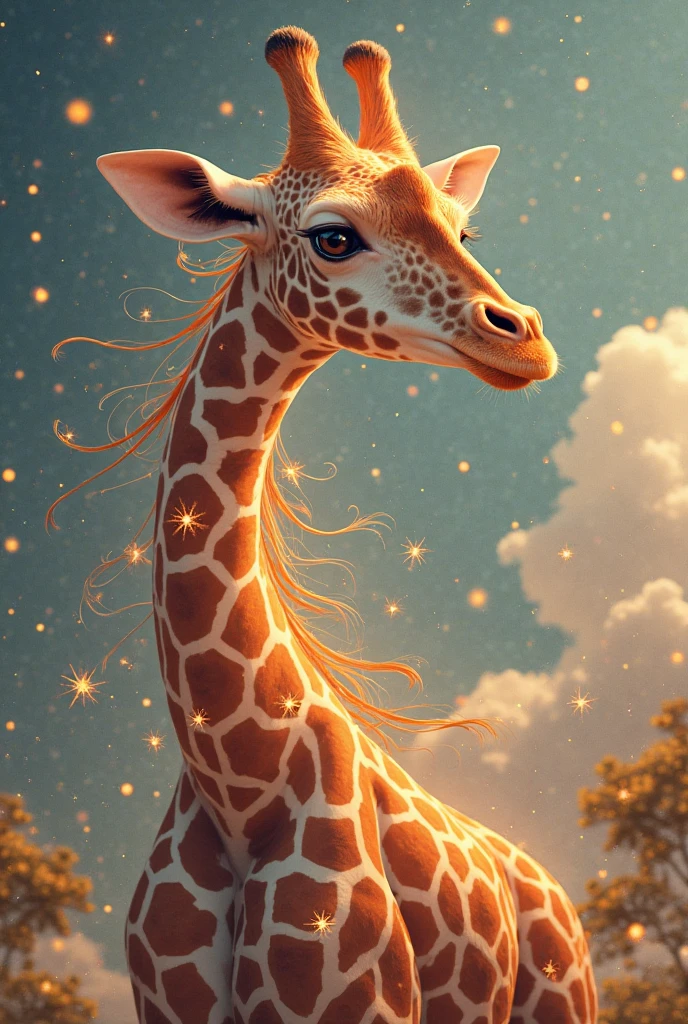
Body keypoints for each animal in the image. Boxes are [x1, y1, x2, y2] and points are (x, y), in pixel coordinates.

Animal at [92, 26, 597, 1024]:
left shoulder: (355, 1004)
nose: (525, 339)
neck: (239, 778)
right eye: (334, 236)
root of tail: (558, 894)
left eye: (462, 230)